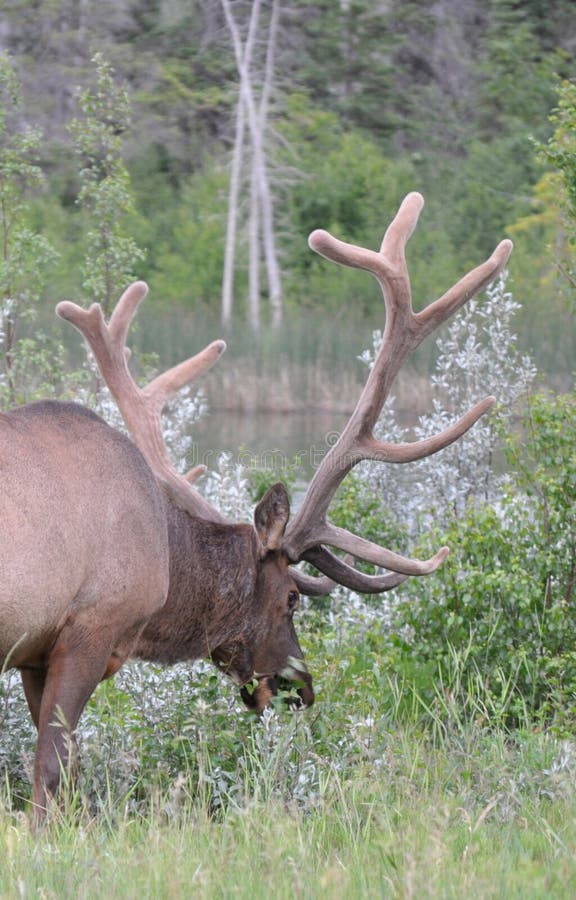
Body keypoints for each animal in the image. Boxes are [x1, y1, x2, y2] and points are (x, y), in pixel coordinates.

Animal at [0, 192, 512, 826]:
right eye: (291, 597)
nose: (302, 688)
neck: (166, 560)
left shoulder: (34, 652)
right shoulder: (87, 627)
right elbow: (54, 773)